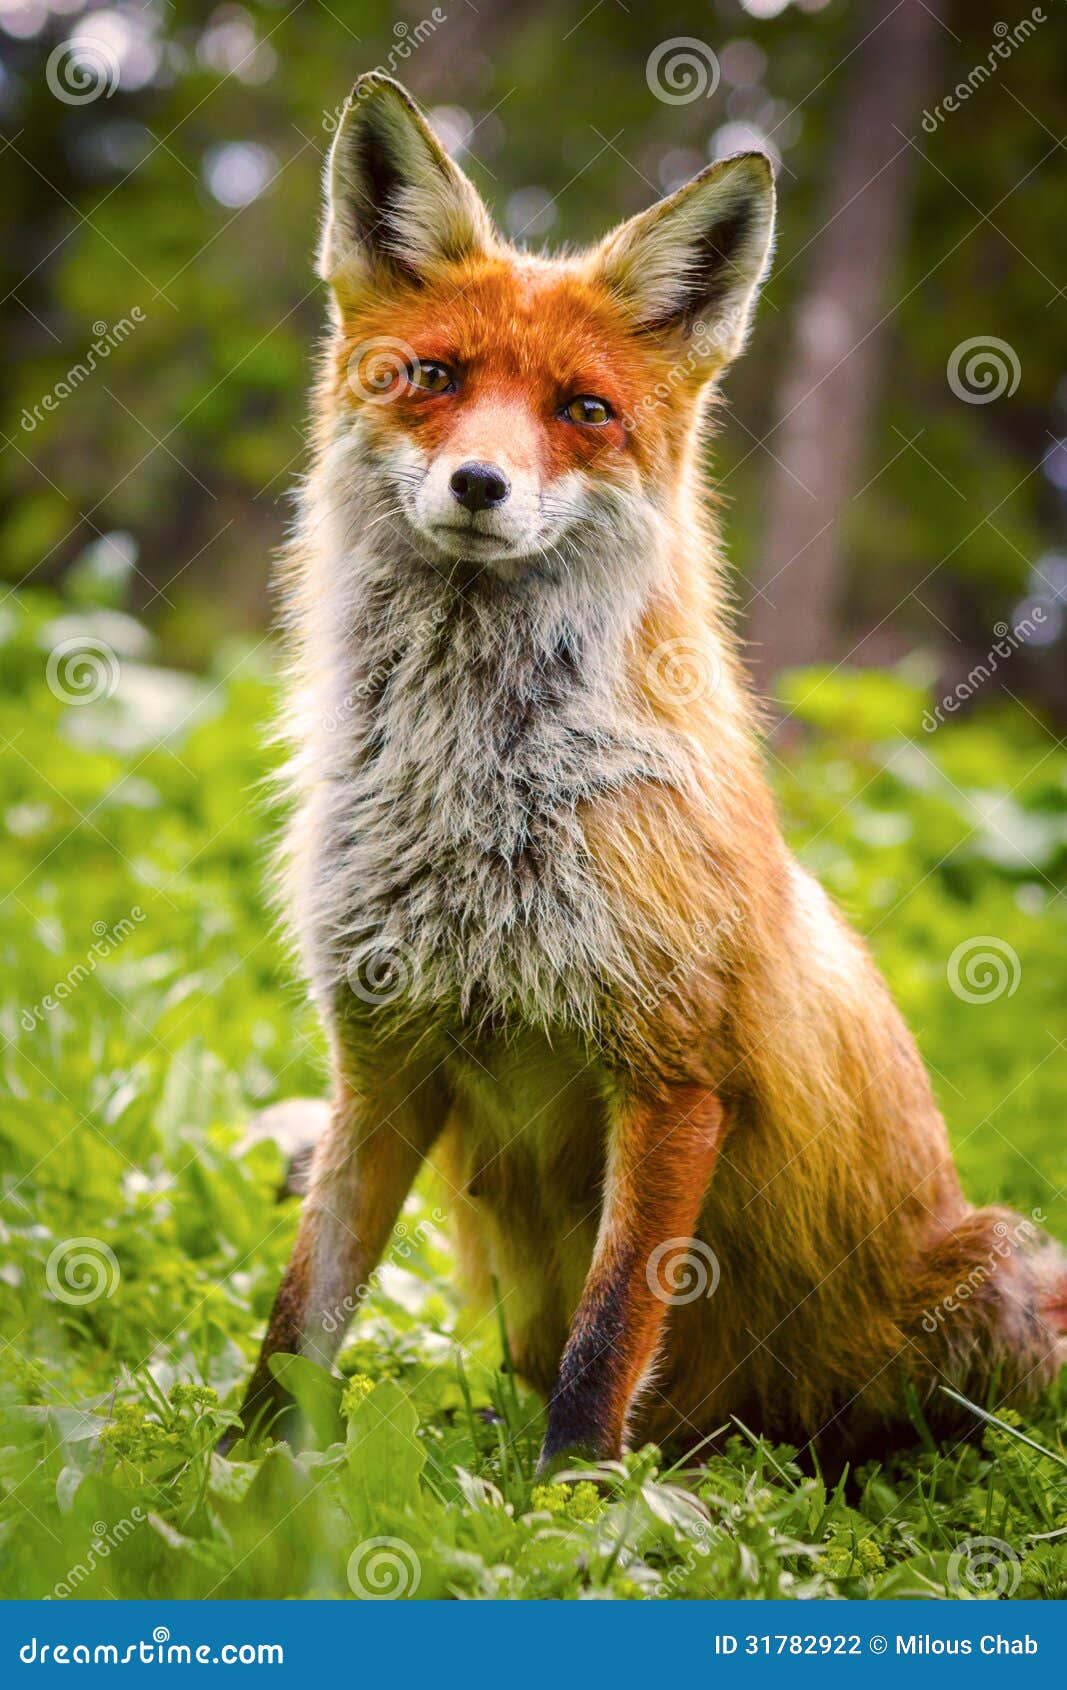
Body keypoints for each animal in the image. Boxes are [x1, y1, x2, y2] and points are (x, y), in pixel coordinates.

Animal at [232, 72, 1066, 1471]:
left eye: (583, 410)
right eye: (432, 378)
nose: (478, 482)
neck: (479, 800)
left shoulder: (673, 1071)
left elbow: (610, 1334)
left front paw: (566, 1505)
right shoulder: (382, 1062)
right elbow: (299, 1319)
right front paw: (229, 1480)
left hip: (986, 1283)